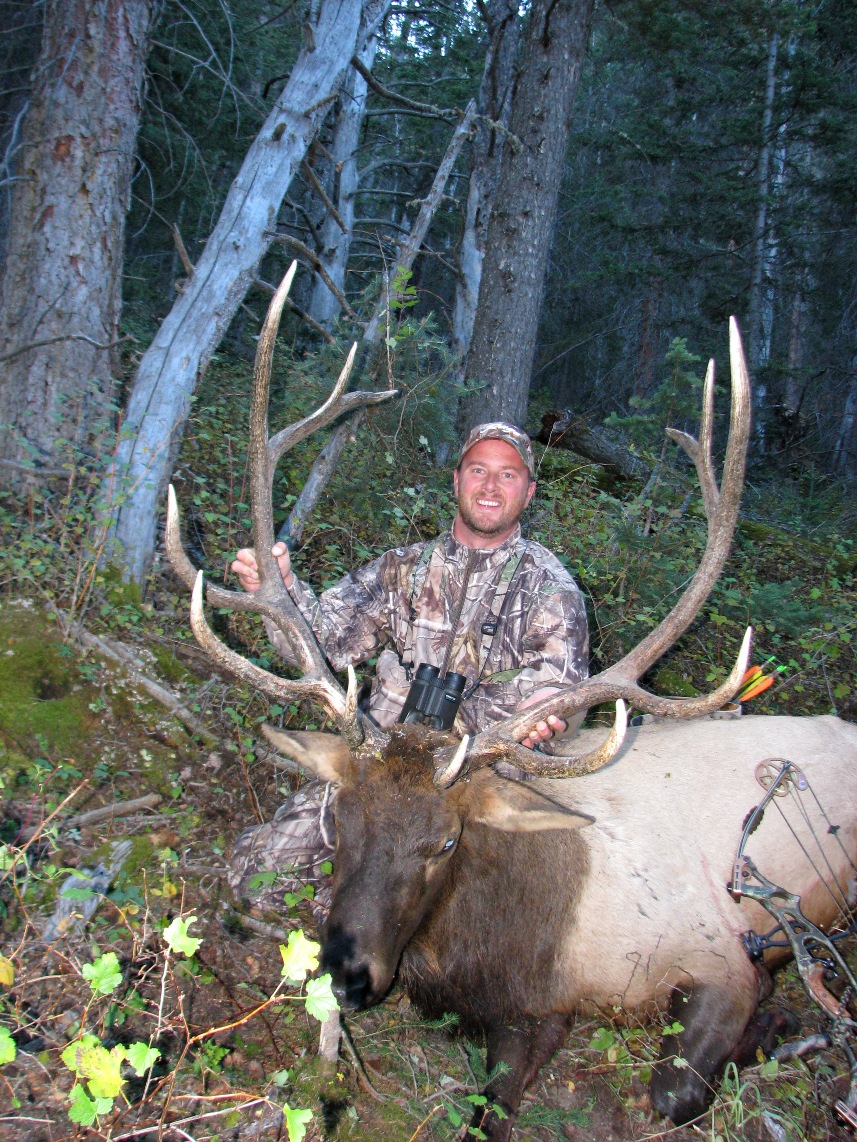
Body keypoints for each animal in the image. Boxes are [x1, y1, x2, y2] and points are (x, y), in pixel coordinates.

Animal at [165, 267, 857, 1138]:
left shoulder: (715, 948)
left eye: (445, 842)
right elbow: (484, 1104)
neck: (523, 947)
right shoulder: (519, 1009)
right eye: (343, 820)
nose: (349, 976)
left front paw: (778, 1026)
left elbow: (672, 1091)